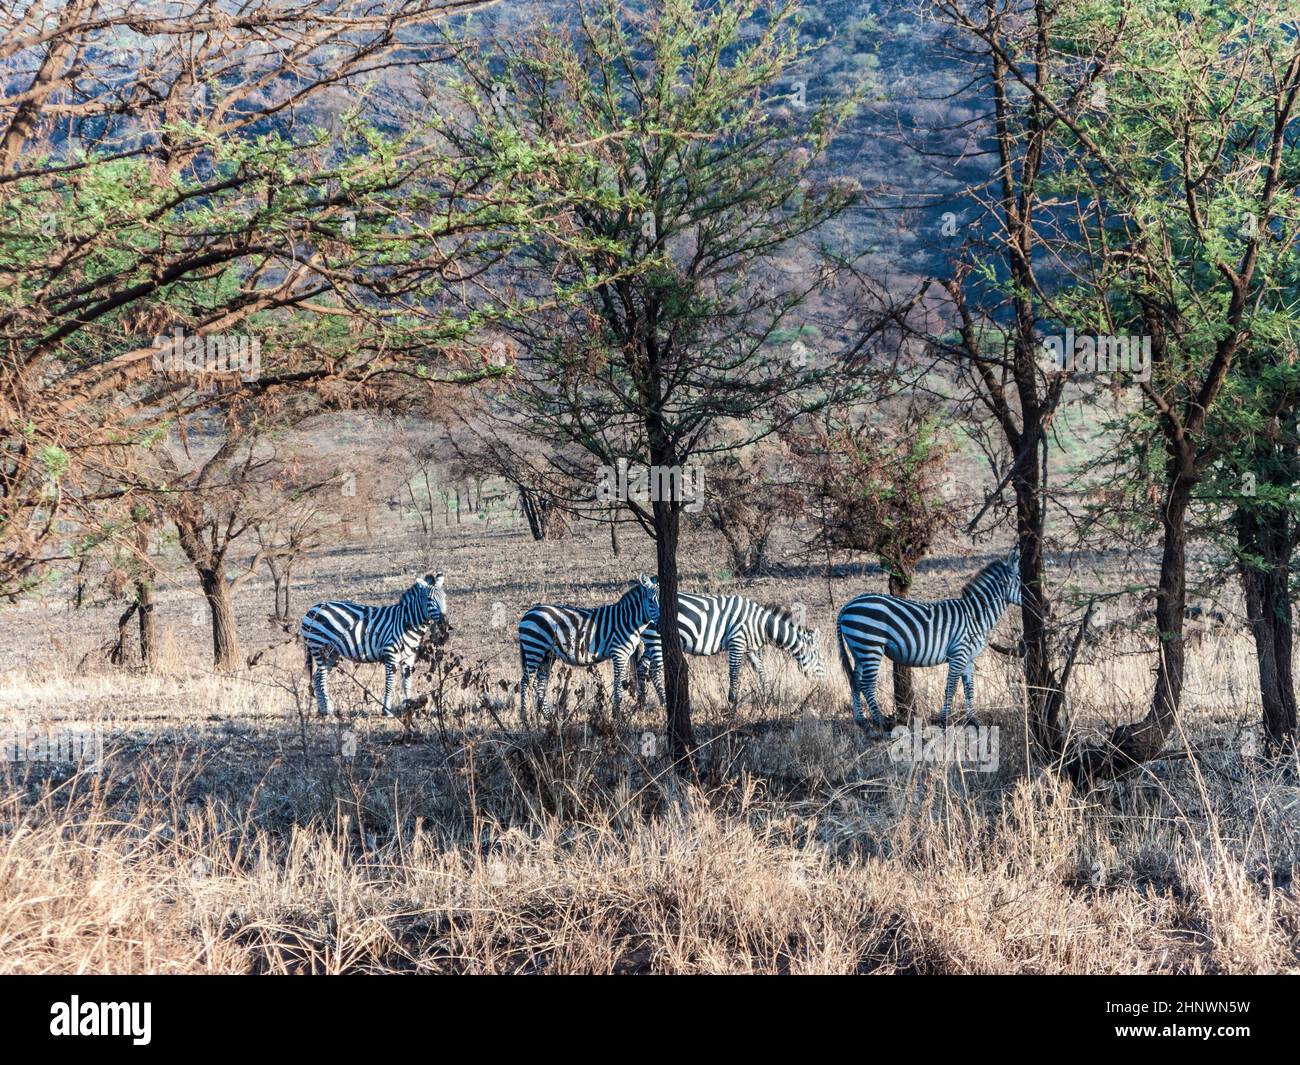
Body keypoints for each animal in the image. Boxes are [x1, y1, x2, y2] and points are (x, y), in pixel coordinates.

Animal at [302, 573, 448, 717]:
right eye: (429, 599)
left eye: (444, 598)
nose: (444, 621)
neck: (406, 622)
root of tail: (312, 608)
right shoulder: (391, 654)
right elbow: (390, 683)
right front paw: (387, 711)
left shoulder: (409, 657)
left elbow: (407, 683)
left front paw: (408, 709)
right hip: (319, 647)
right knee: (321, 678)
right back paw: (328, 711)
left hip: (332, 653)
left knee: (317, 677)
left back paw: (322, 710)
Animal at [517, 573, 659, 722]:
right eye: (651, 601)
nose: (659, 625)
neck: (628, 620)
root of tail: (527, 613)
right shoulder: (619, 653)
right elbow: (618, 683)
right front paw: (617, 714)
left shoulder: (626, 655)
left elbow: (620, 681)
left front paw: (617, 712)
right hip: (535, 648)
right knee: (525, 682)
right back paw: (525, 718)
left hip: (547, 654)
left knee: (539, 683)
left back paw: (549, 716)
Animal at [633, 593, 827, 705]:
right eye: (819, 657)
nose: (825, 683)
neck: (760, 624)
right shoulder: (737, 642)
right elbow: (734, 673)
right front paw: (732, 702)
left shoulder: (749, 648)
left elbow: (762, 672)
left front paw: (767, 698)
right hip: (656, 640)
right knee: (655, 670)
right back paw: (664, 702)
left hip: (650, 641)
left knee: (642, 667)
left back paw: (642, 703)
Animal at [836, 551, 1021, 729]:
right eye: (1022, 581)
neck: (975, 615)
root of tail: (847, 606)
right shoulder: (958, 654)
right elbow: (951, 688)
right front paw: (944, 721)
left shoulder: (968, 658)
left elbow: (969, 689)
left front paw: (974, 721)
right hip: (870, 647)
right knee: (867, 685)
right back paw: (881, 723)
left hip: (859, 650)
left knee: (855, 682)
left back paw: (862, 722)